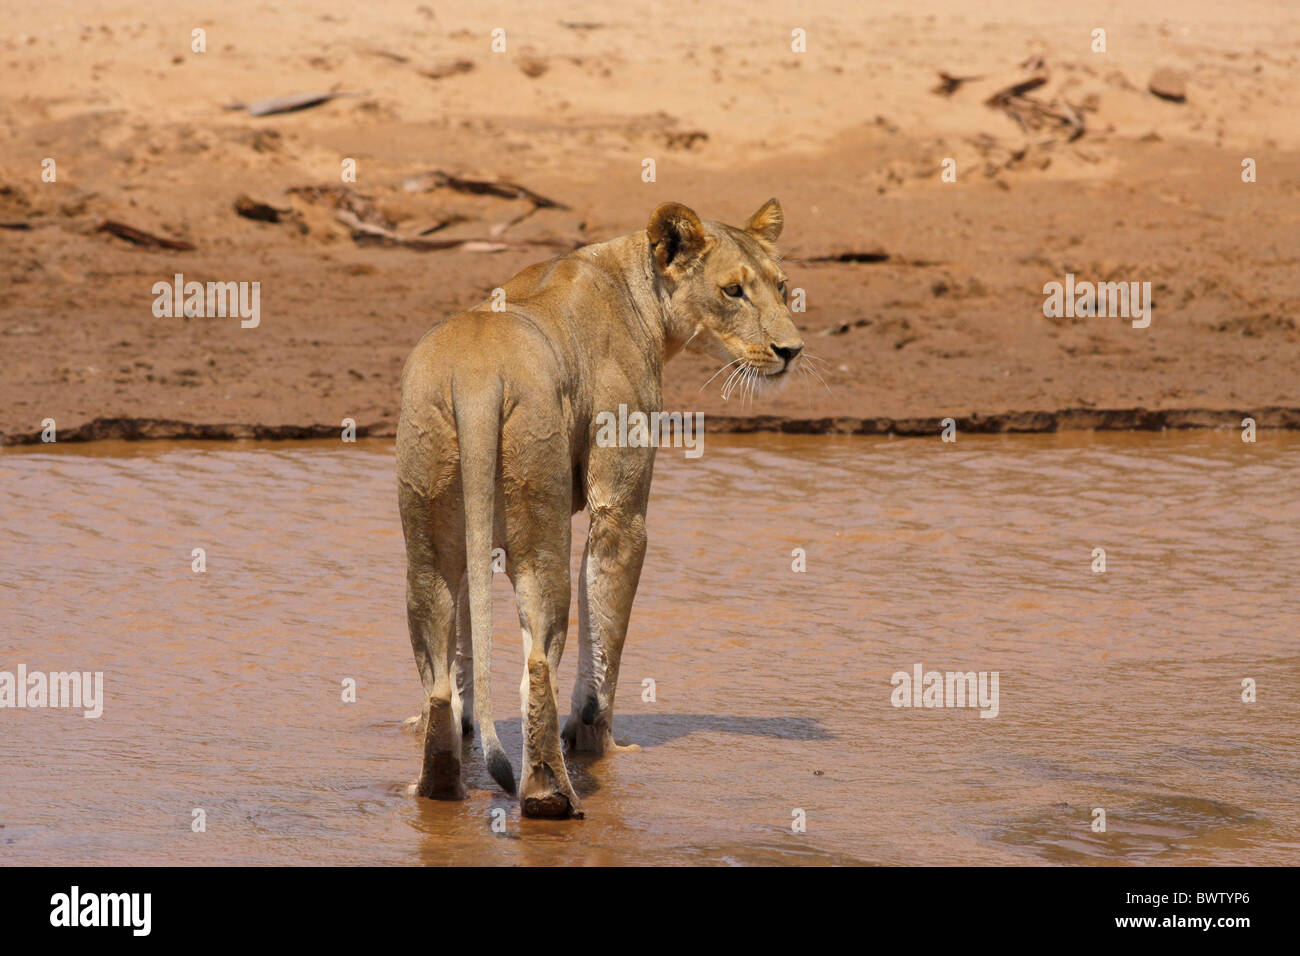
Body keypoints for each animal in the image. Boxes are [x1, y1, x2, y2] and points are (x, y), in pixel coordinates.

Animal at [396, 199, 803, 818]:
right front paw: (598, 743)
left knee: (439, 664)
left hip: (426, 536)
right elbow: (604, 632)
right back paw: (551, 795)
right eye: (733, 291)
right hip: (540, 534)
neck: (637, 287)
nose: (791, 351)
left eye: (781, 287)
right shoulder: (621, 507)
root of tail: (476, 377)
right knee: (539, 661)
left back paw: (438, 783)